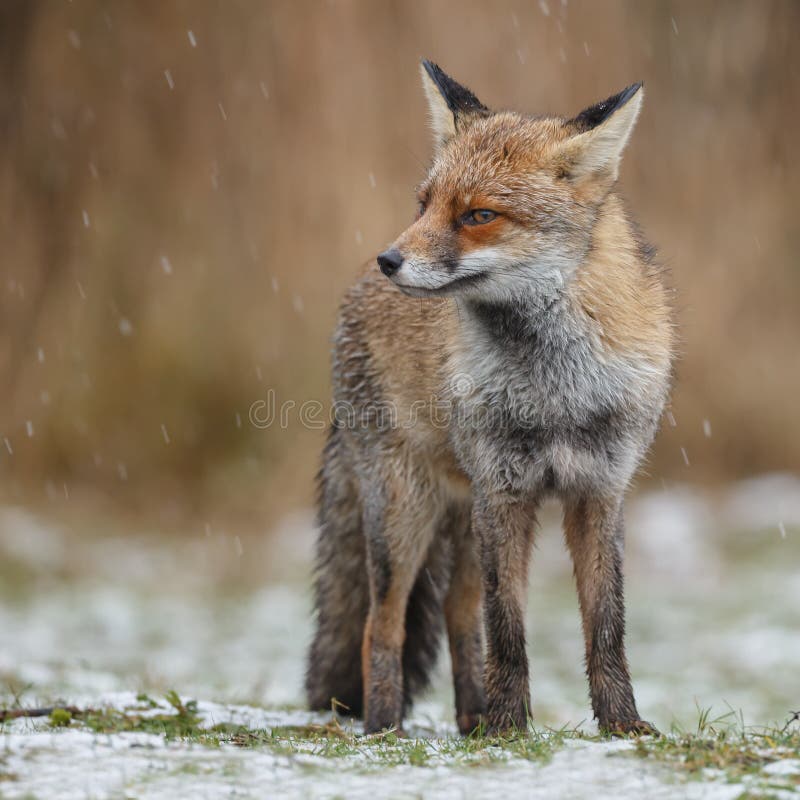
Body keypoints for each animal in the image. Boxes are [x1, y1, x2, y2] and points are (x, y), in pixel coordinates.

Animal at [306, 60, 674, 737]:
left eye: (478, 215)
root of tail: (354, 289)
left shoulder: (599, 492)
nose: (391, 258)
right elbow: (508, 631)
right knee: (382, 624)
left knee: (458, 617)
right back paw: (386, 728)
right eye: (424, 204)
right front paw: (509, 726)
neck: (554, 389)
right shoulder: (505, 492)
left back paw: (471, 717)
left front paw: (621, 727)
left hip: (463, 520)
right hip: (406, 514)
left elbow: (605, 628)